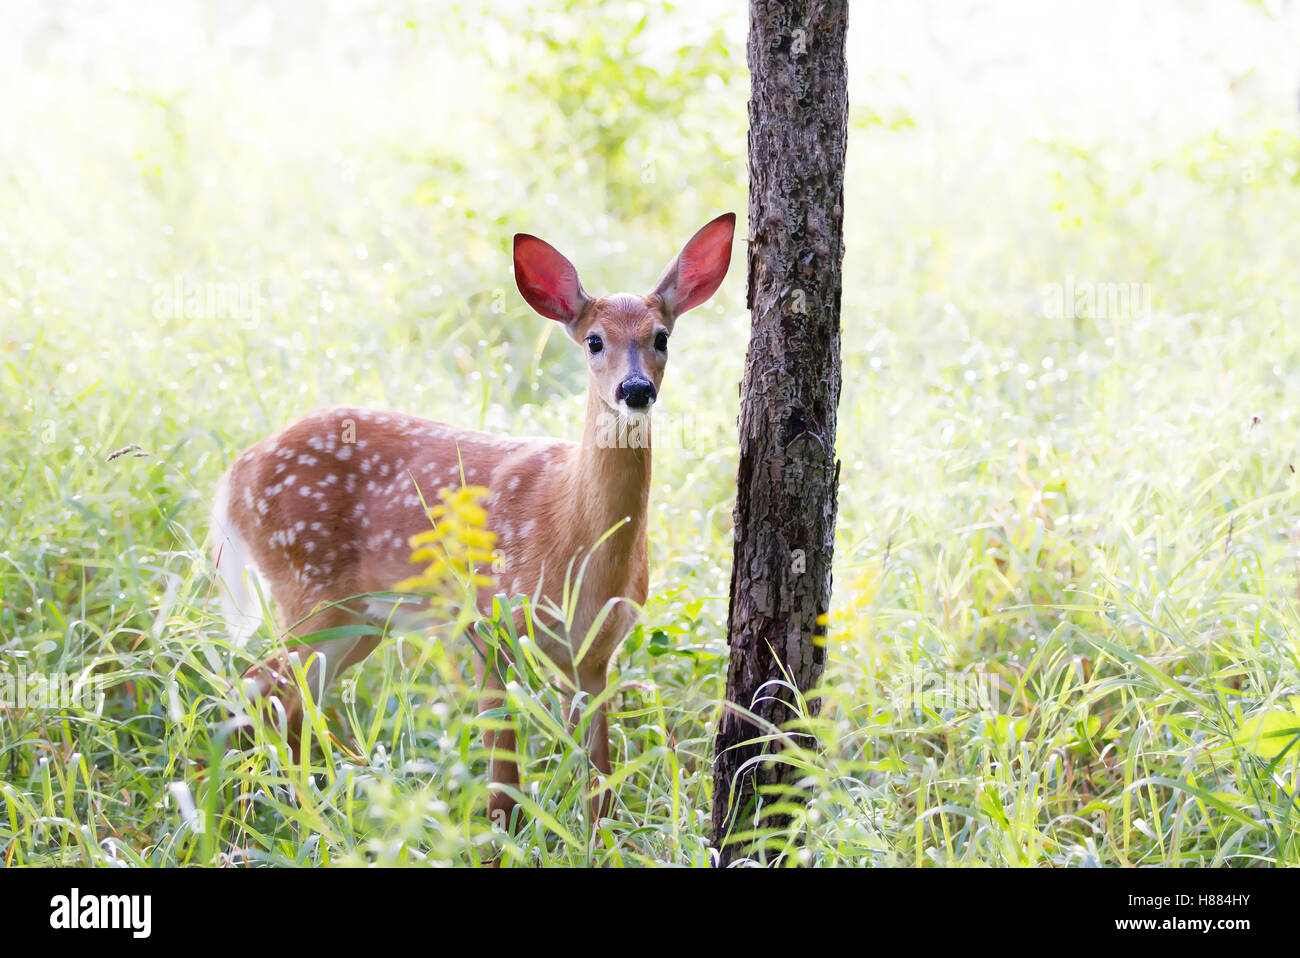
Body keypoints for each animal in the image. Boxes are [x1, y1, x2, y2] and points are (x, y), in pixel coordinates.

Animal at [209, 213, 736, 830]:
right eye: (594, 341)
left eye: (661, 338)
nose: (635, 390)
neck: (575, 540)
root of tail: (236, 472)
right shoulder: (490, 620)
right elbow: (503, 779)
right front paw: (499, 836)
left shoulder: (594, 654)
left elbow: (598, 780)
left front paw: (598, 836)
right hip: (308, 585)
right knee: (251, 685)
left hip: (359, 619)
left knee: (291, 703)